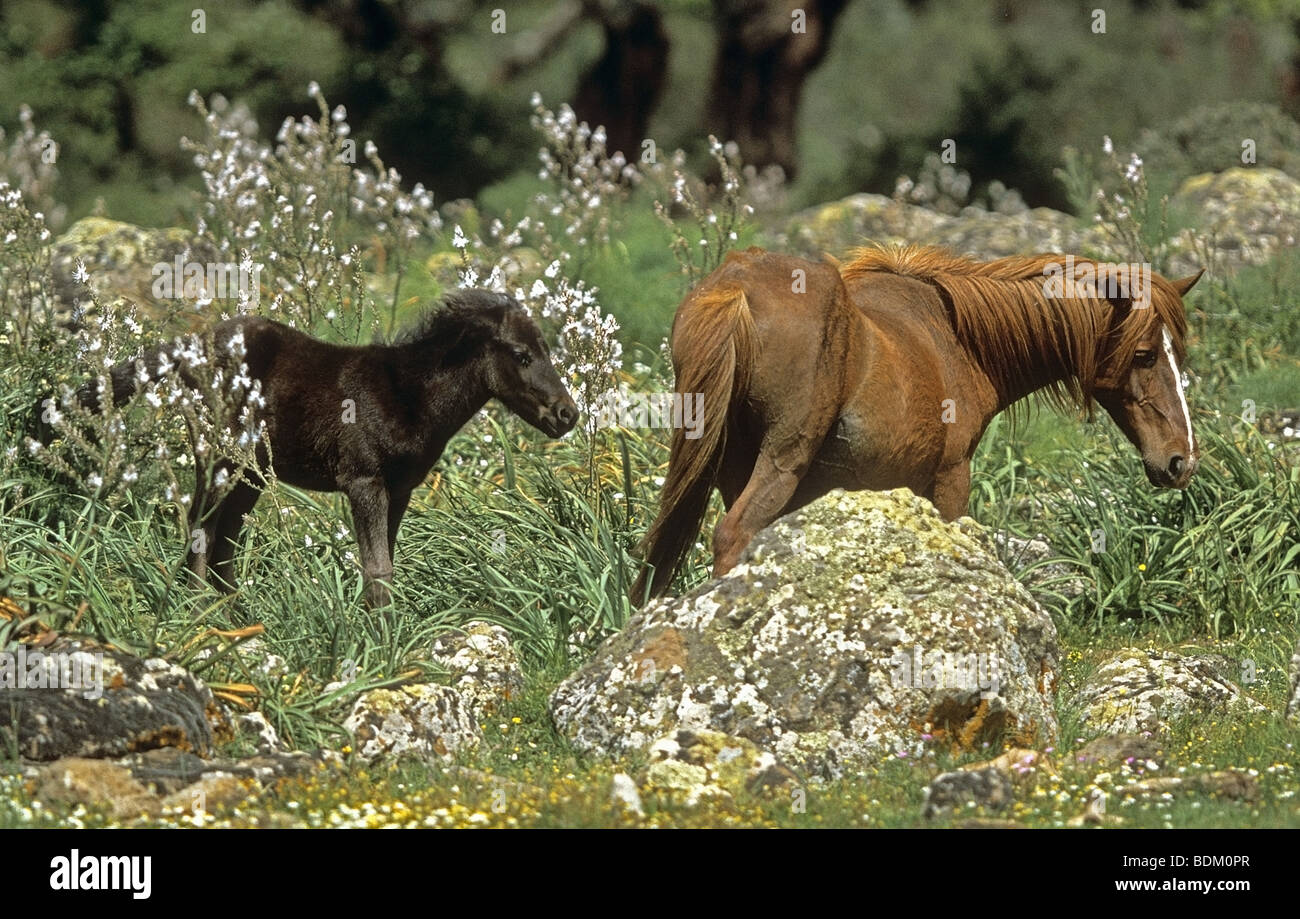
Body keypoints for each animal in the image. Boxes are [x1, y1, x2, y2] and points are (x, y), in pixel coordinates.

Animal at [84, 289, 578, 607]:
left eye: (547, 350)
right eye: (521, 355)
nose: (567, 414)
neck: (409, 394)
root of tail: (186, 349)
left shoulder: (400, 490)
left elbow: (386, 562)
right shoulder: (363, 481)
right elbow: (377, 569)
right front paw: (383, 645)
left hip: (250, 472)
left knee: (225, 535)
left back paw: (237, 614)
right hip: (218, 456)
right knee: (201, 525)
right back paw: (200, 611)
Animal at [632, 244, 1203, 601]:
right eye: (1146, 355)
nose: (1181, 461)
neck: (958, 337)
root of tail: (736, 288)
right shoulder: (950, 480)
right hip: (780, 462)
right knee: (733, 535)